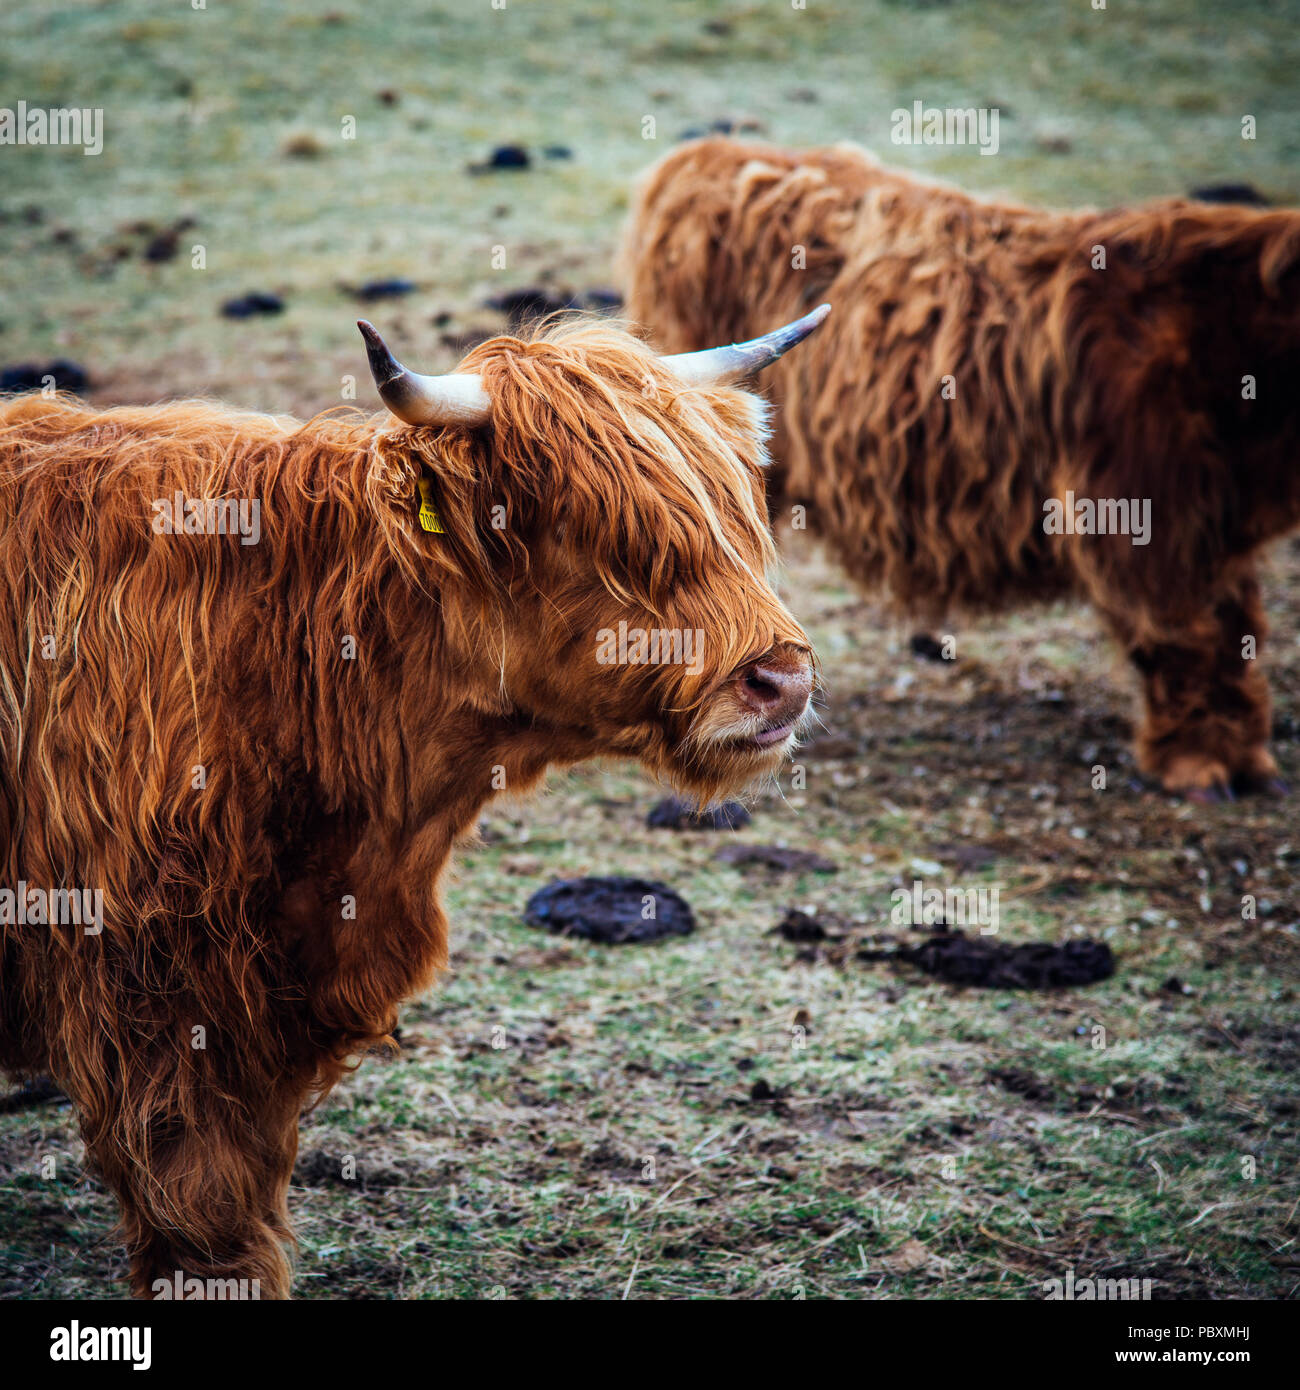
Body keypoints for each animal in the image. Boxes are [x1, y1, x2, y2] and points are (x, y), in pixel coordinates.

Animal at [621, 137, 1300, 801]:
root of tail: (710, 153)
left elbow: (1229, 627)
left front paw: (1243, 760)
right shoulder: (1149, 518)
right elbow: (1192, 633)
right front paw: (1202, 765)